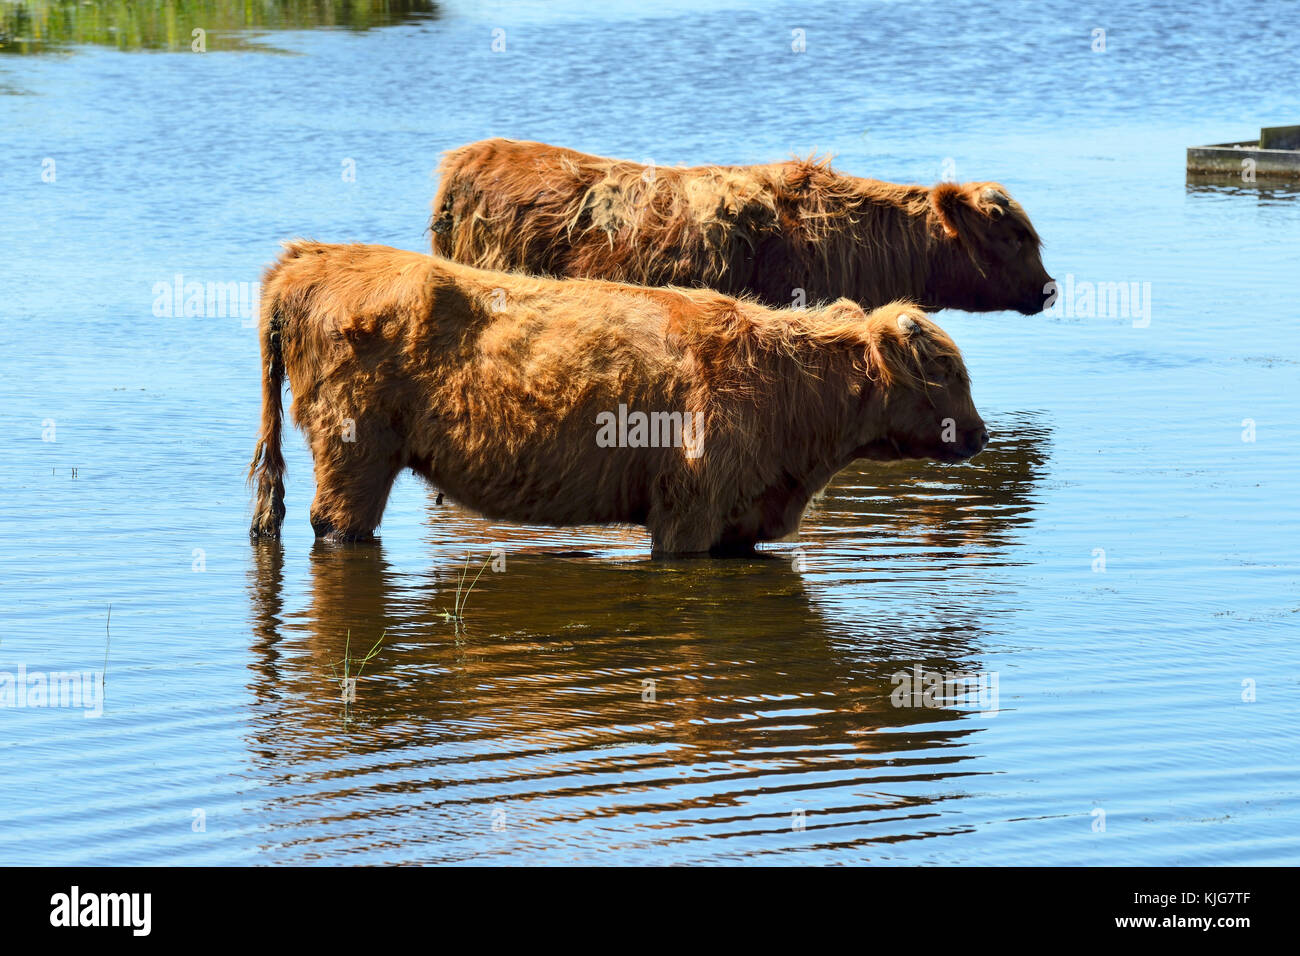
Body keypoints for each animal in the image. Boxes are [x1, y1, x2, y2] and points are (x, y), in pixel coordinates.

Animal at [249, 242, 987, 556]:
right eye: (947, 370)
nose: (980, 435)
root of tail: (306, 258)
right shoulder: (687, 514)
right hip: (355, 455)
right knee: (334, 524)